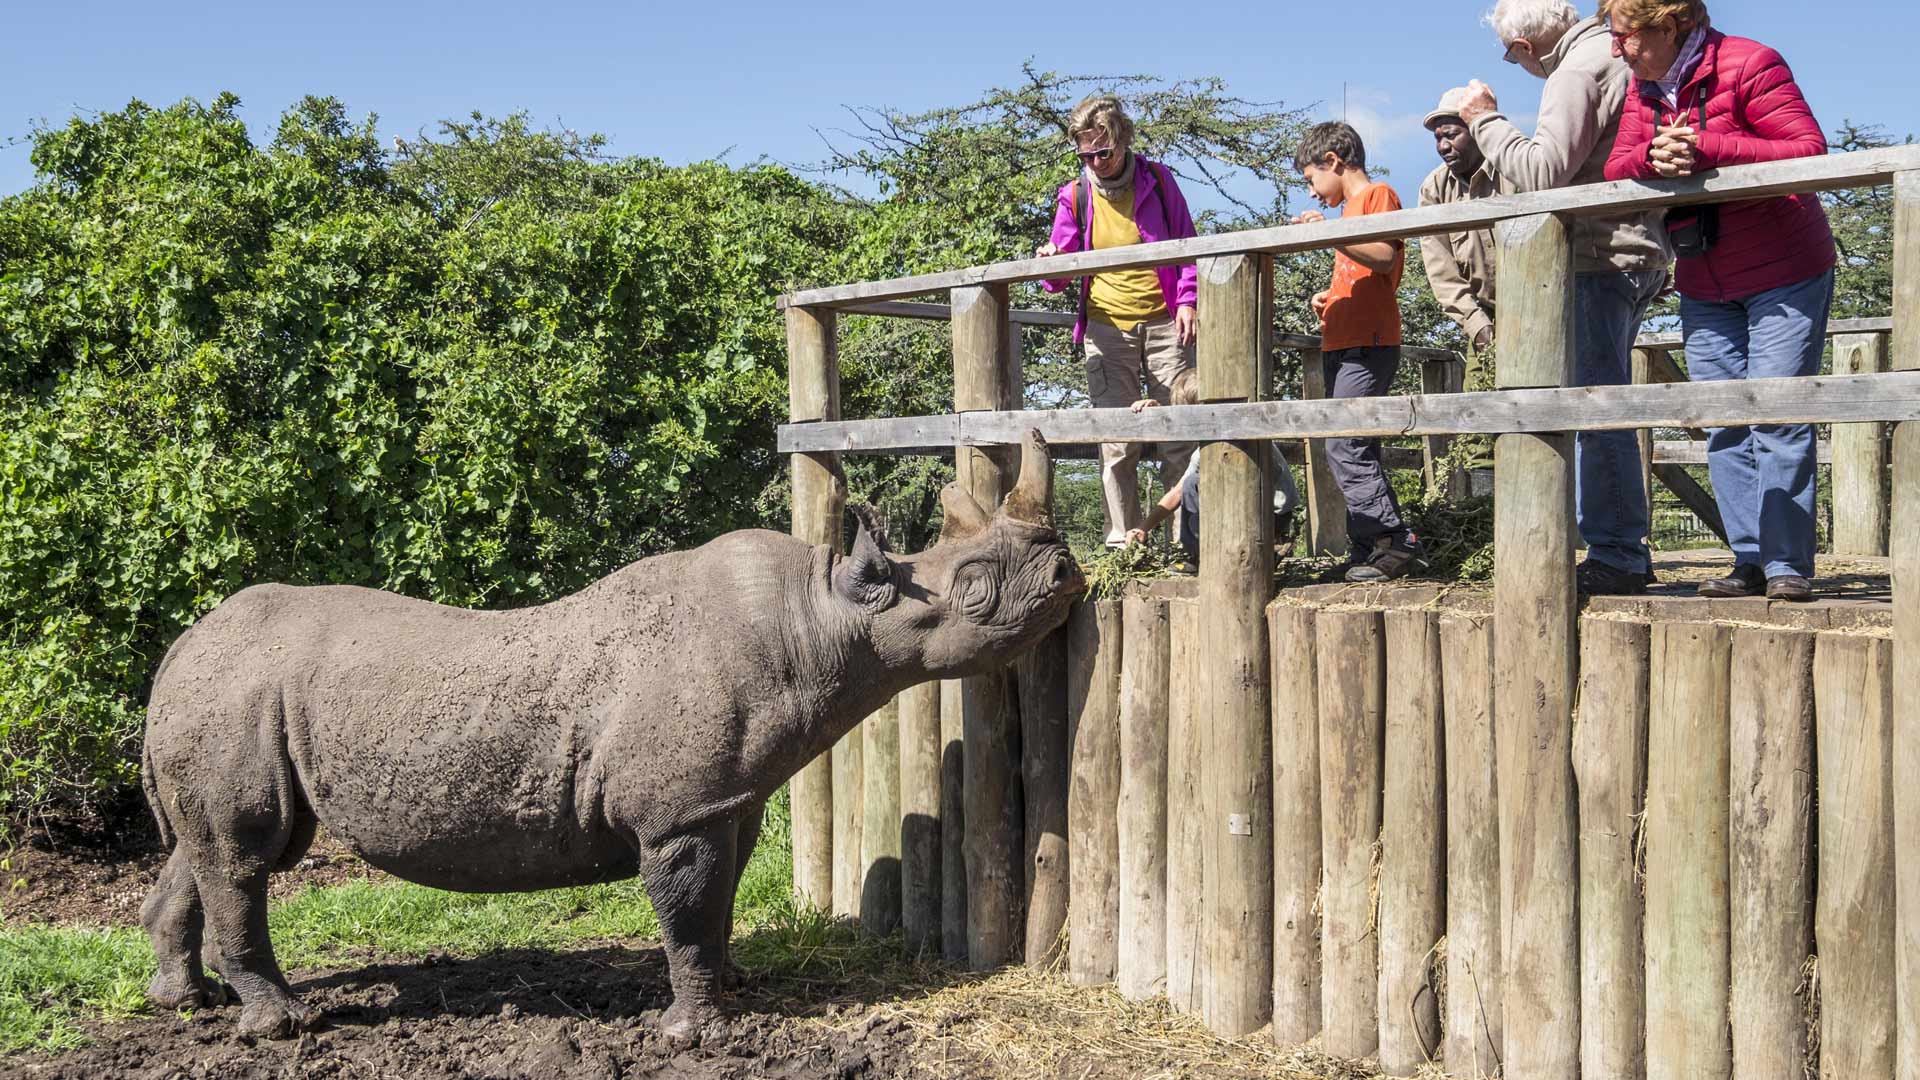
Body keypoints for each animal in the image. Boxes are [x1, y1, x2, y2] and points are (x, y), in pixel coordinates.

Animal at [138, 430, 1082, 1039]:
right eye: (975, 588)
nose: (1068, 571)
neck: (822, 620)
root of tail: (178, 648)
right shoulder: (677, 811)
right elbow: (688, 909)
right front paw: (695, 1036)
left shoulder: (725, 796)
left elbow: (720, 901)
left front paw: (736, 987)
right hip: (234, 695)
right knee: (246, 853)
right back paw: (282, 1025)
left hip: (227, 697)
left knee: (209, 845)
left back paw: (186, 1004)